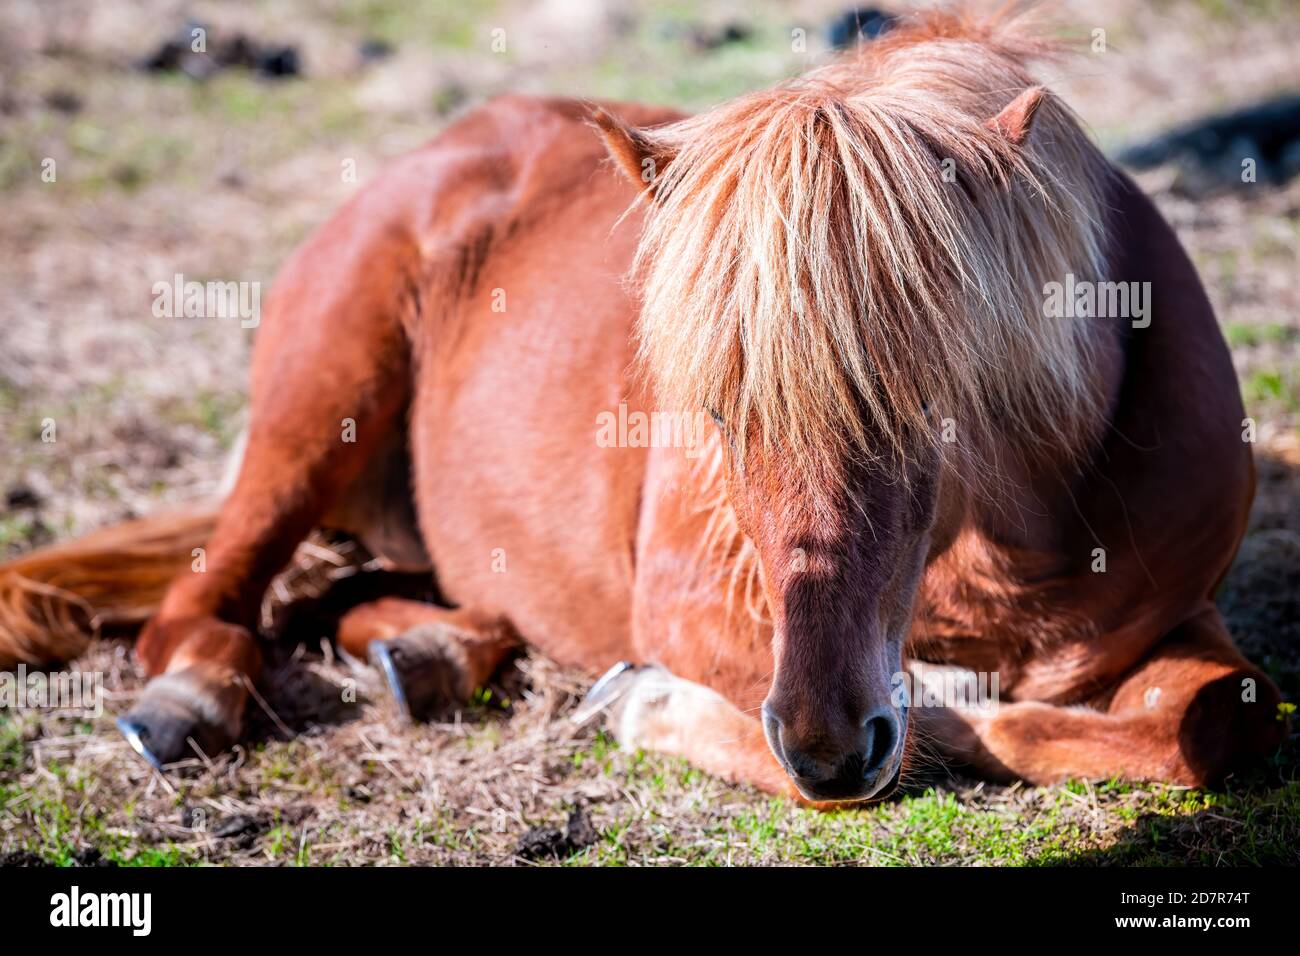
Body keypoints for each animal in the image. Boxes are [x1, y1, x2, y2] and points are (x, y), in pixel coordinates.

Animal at [0, 9, 1285, 803]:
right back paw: (189, 697)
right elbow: (922, 720)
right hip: (320, 402)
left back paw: (430, 651)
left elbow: (1208, 722)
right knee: (207, 604)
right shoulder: (691, 605)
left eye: (929, 396)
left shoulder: (1172, 620)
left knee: (343, 595)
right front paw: (650, 704)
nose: (825, 743)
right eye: (710, 412)